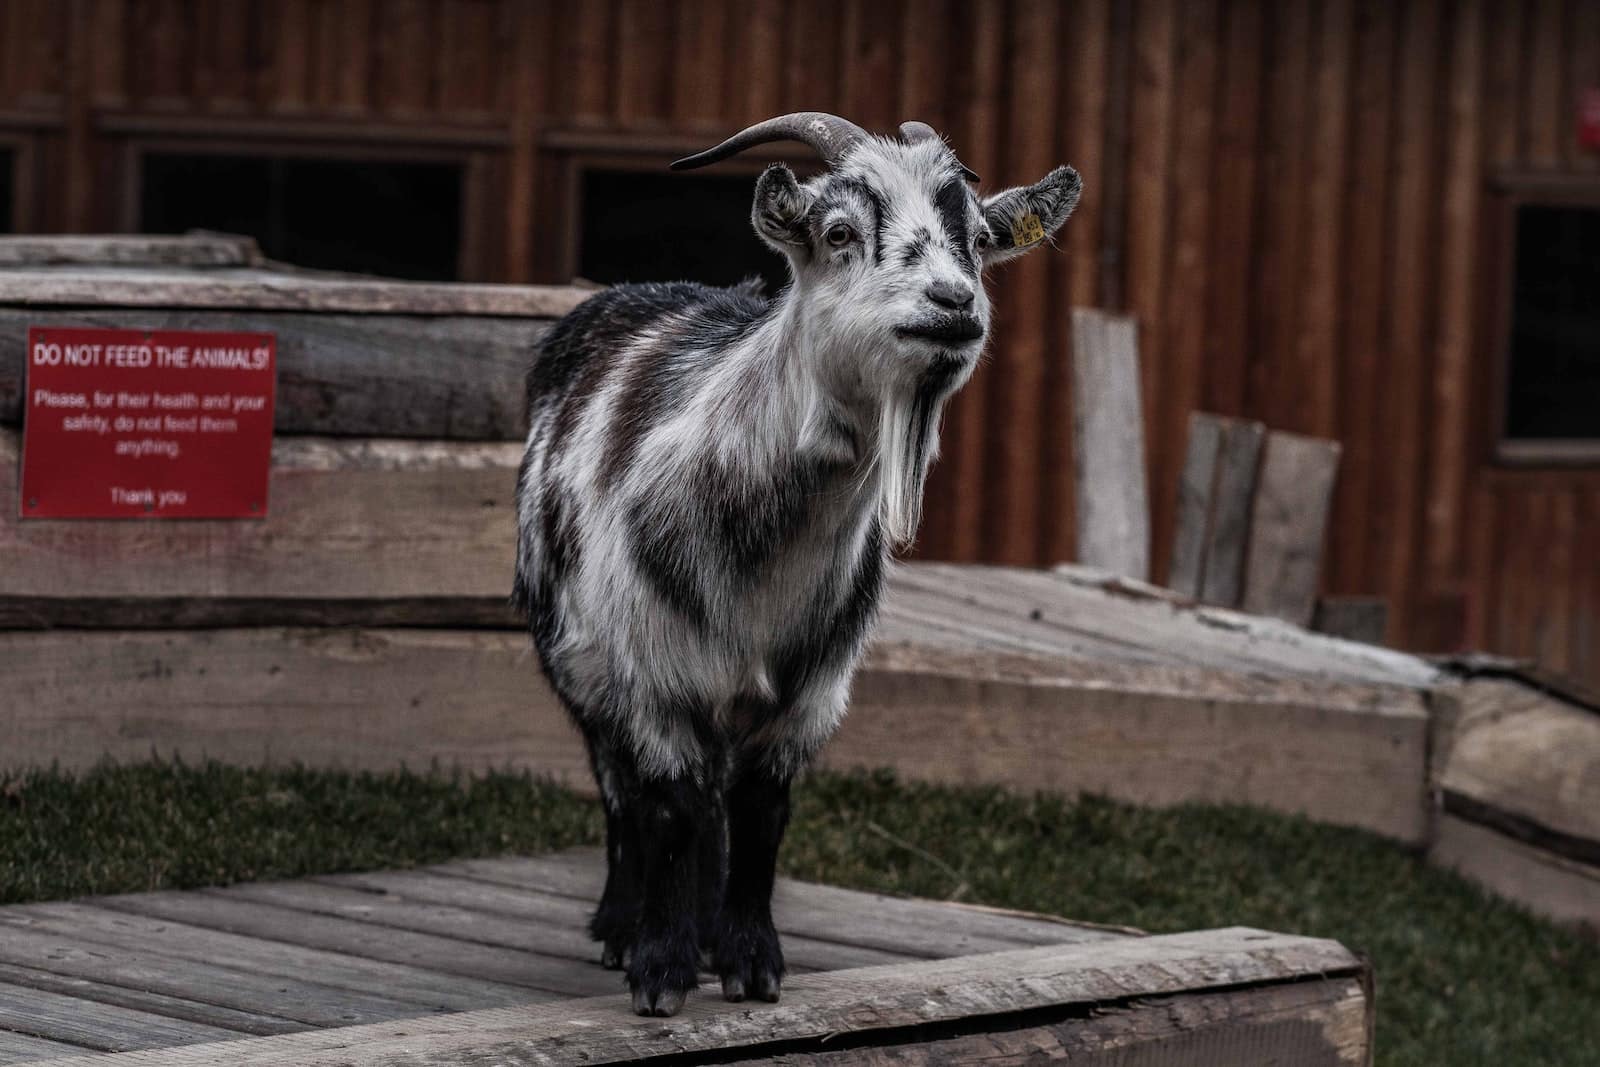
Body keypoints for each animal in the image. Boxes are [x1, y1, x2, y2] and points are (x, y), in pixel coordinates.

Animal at [513, 112, 1080, 1016]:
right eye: (840, 232)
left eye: (978, 240)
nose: (953, 303)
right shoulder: (653, 670)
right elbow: (665, 808)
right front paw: (661, 969)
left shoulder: (809, 687)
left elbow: (760, 814)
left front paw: (747, 960)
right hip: (580, 665)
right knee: (620, 788)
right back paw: (619, 925)